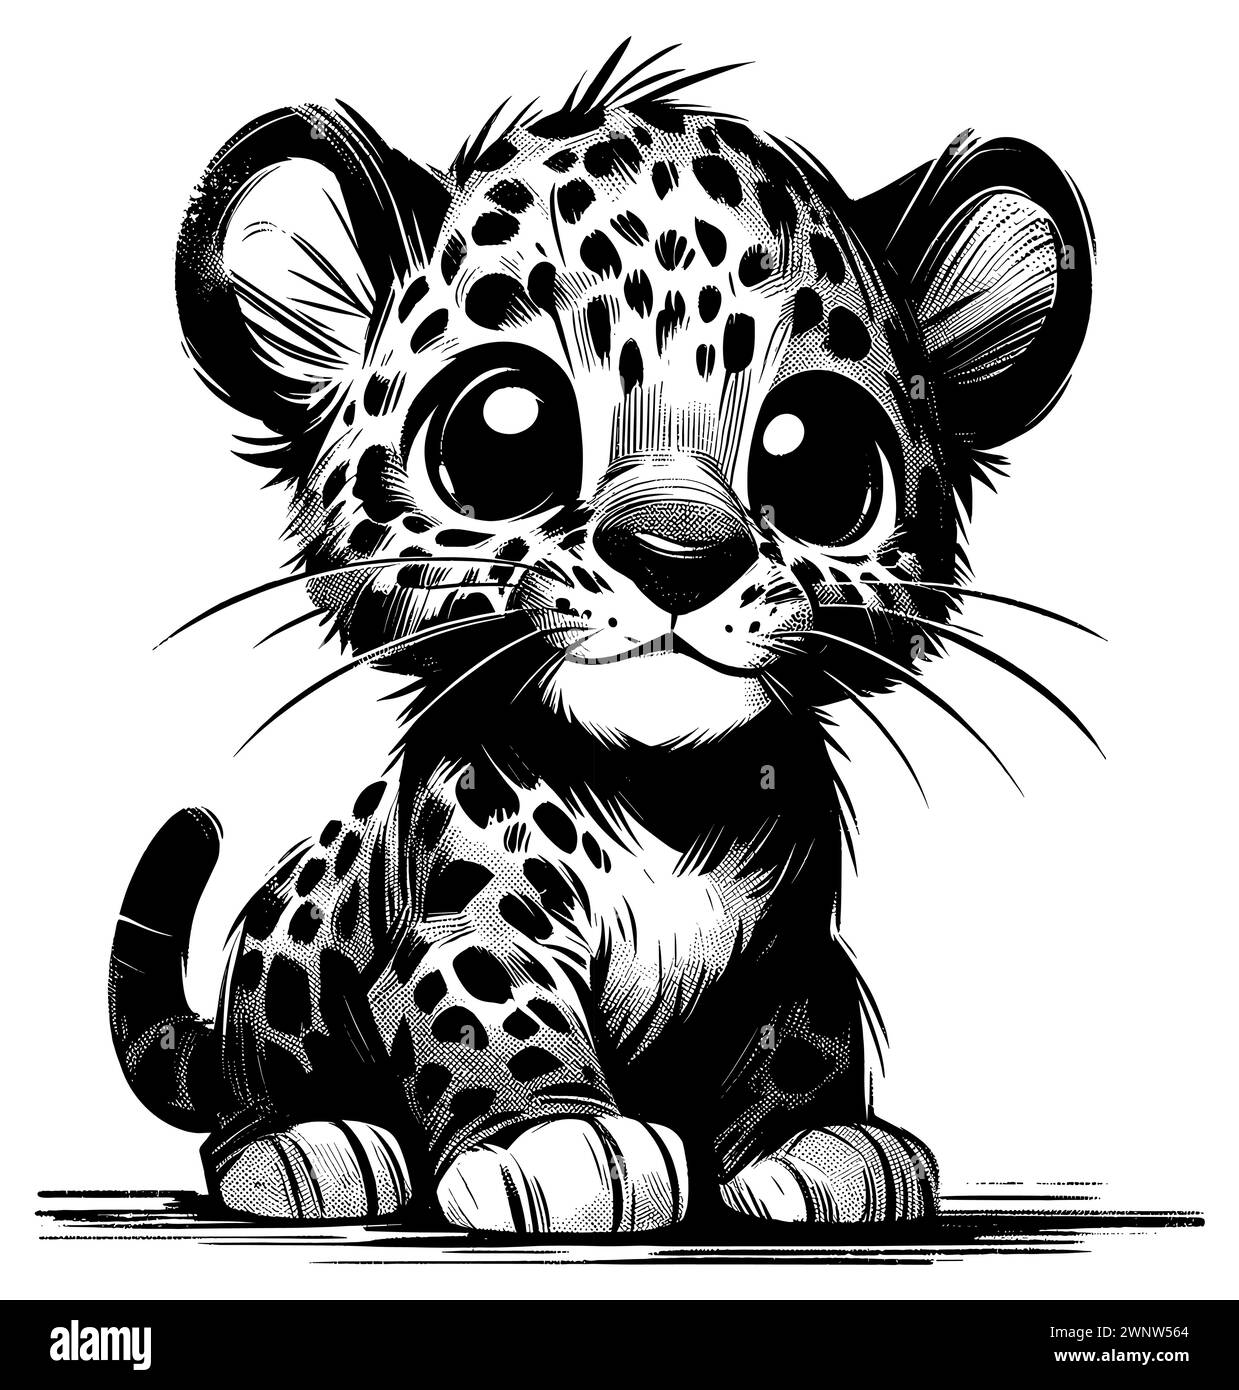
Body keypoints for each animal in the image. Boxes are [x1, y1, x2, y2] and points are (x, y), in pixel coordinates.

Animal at [110, 44, 1094, 1232]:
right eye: (505, 434)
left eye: (816, 461)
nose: (678, 554)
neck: (665, 794)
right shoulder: (470, 925)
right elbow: (491, 1009)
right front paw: (563, 1143)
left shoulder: (792, 947)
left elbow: (807, 1031)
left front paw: (818, 1145)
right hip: (278, 972)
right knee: (247, 1104)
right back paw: (307, 1150)